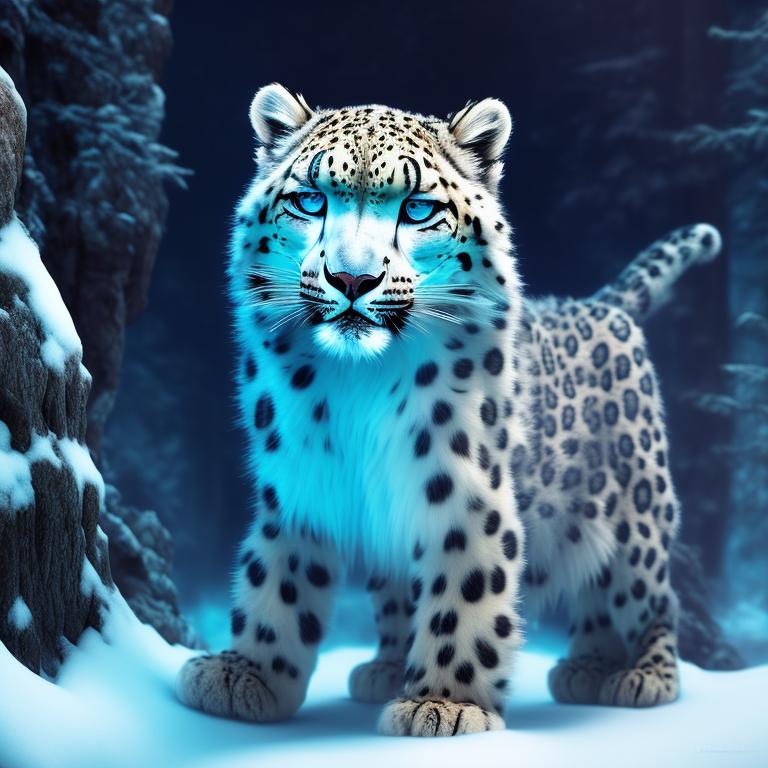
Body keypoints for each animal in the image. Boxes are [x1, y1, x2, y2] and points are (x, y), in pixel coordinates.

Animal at [175, 83, 721, 737]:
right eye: (309, 200)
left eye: (416, 209)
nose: (351, 279)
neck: (355, 387)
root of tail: (602, 303)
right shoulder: (297, 480)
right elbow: (277, 579)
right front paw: (247, 672)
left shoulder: (463, 486)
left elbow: (467, 591)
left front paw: (444, 703)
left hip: (636, 513)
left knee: (650, 594)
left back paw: (643, 675)